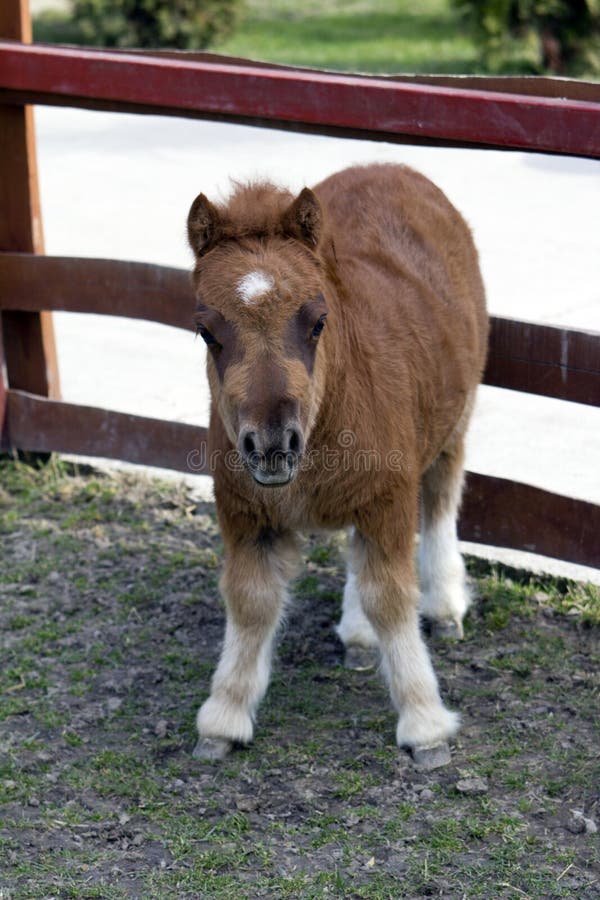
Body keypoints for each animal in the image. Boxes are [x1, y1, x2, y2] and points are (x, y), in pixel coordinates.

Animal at [186, 163, 488, 768]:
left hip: (453, 421)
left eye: (318, 321)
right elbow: (251, 600)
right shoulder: (244, 508)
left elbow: (391, 597)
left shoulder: (388, 495)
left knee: (442, 499)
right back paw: (357, 634)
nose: (273, 443)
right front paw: (224, 717)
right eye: (207, 331)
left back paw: (445, 606)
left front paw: (425, 724)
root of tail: (394, 167)